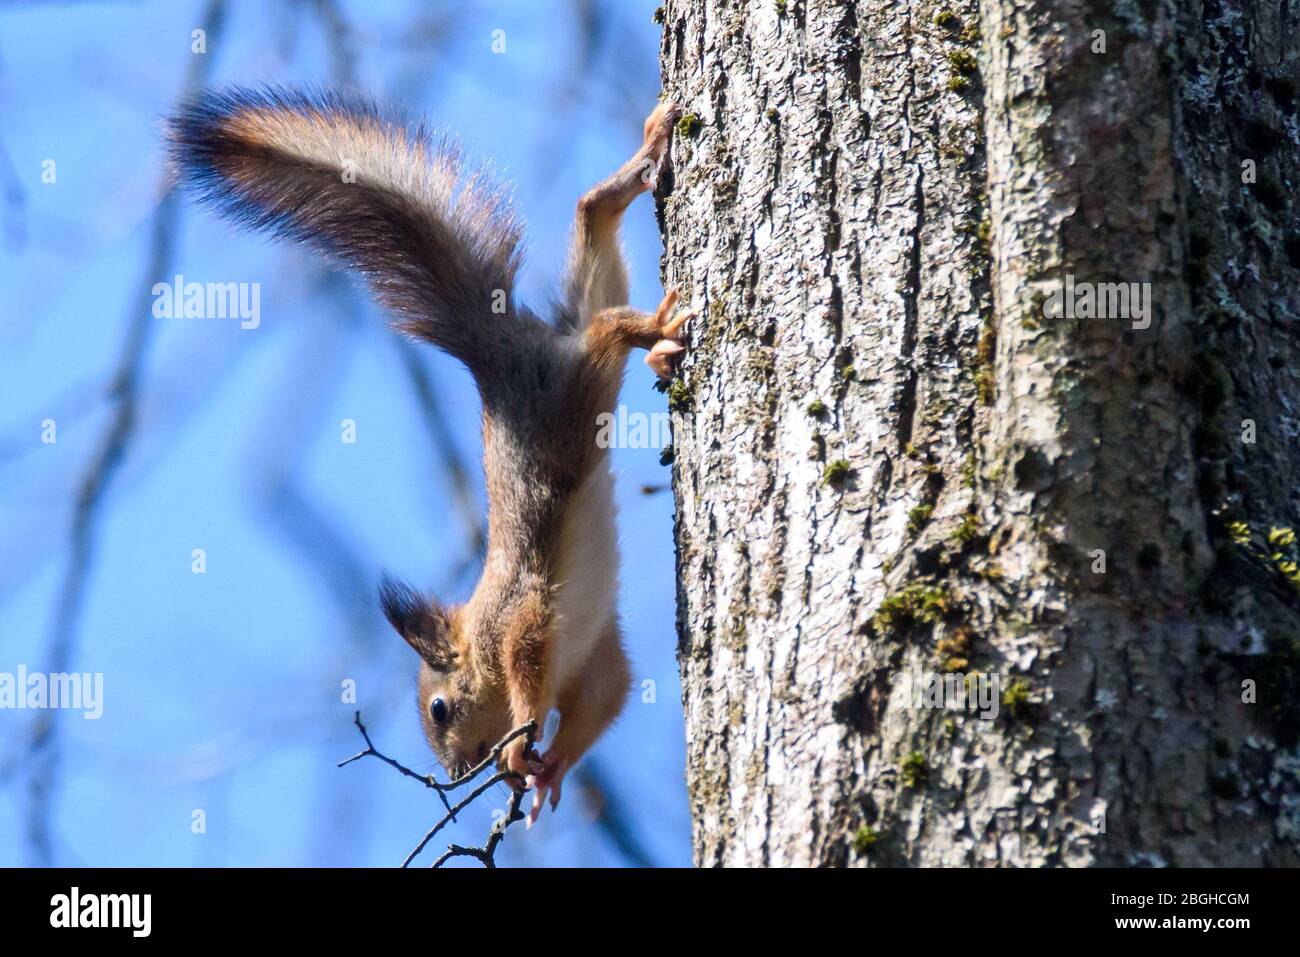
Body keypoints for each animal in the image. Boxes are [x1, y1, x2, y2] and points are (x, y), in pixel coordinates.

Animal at [167, 87, 689, 824]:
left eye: (439, 708)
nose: (457, 772)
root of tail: (497, 355)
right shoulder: (595, 660)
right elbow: (601, 705)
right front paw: (546, 770)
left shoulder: (523, 619)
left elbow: (533, 676)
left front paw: (516, 747)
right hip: (585, 335)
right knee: (591, 224)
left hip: (568, 389)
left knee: (605, 328)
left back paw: (650, 325)